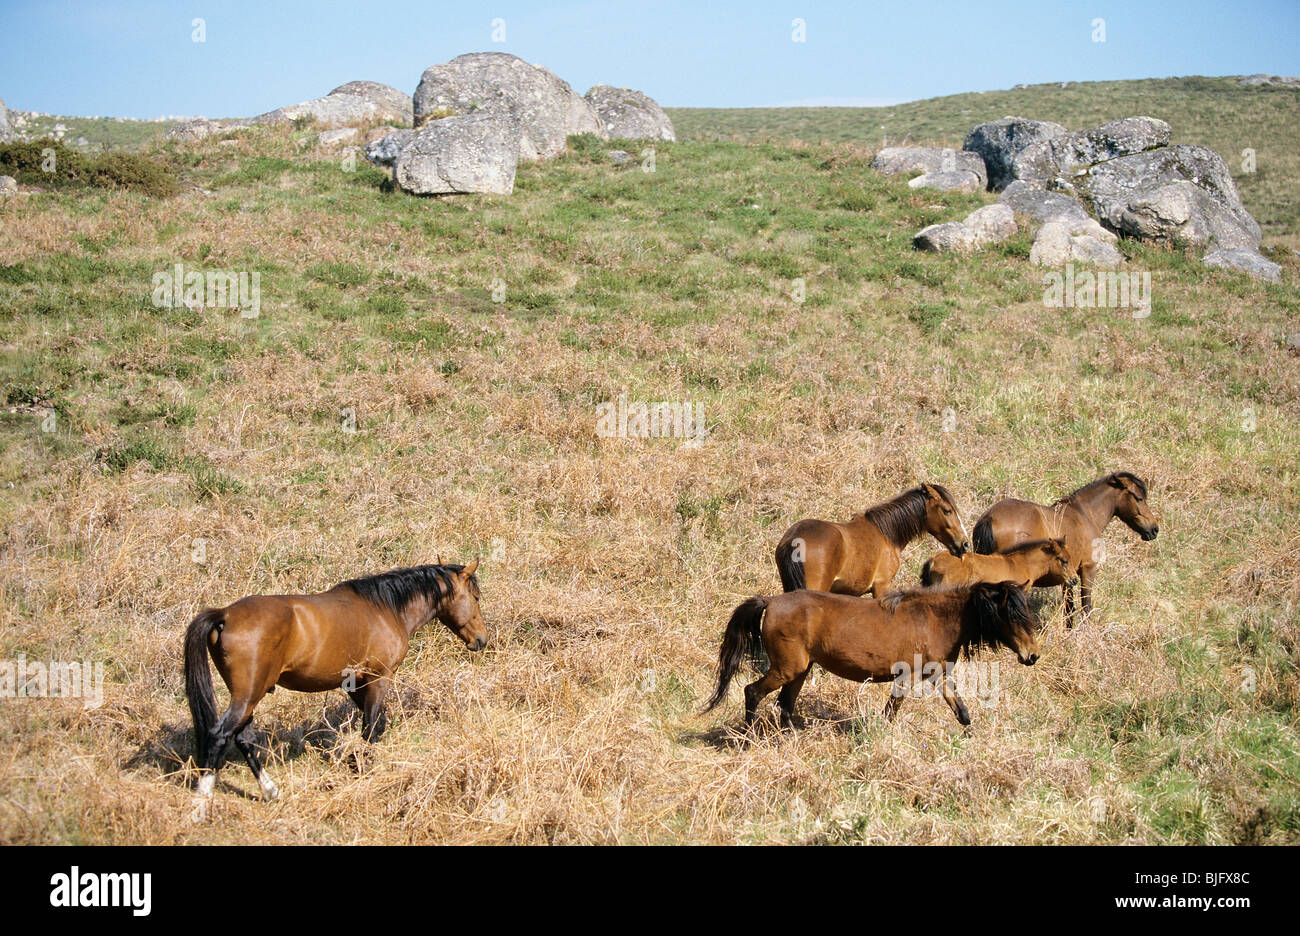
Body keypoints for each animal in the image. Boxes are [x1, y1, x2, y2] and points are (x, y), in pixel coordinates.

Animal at [184, 559, 485, 808]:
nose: (481, 639)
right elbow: (371, 727)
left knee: (243, 739)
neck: (385, 609)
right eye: (475, 596)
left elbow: (376, 724)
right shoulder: (379, 678)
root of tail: (224, 615)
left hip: (248, 696)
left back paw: (270, 791)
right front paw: (365, 770)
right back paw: (204, 796)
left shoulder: (355, 684)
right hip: (248, 695)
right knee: (220, 735)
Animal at [704, 581, 1039, 730]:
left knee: (785, 705)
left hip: (800, 670)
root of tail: (771, 602)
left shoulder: (938, 674)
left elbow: (961, 711)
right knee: (753, 692)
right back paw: (748, 736)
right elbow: (891, 712)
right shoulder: (907, 676)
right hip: (788, 668)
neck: (934, 618)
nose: (1033, 655)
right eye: (1012, 616)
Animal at [971, 471, 1158, 625]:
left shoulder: (1068, 576)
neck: (1085, 515)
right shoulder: (1088, 569)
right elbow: (1086, 606)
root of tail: (990, 518)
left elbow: (1069, 609)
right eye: (1139, 498)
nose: (1154, 529)